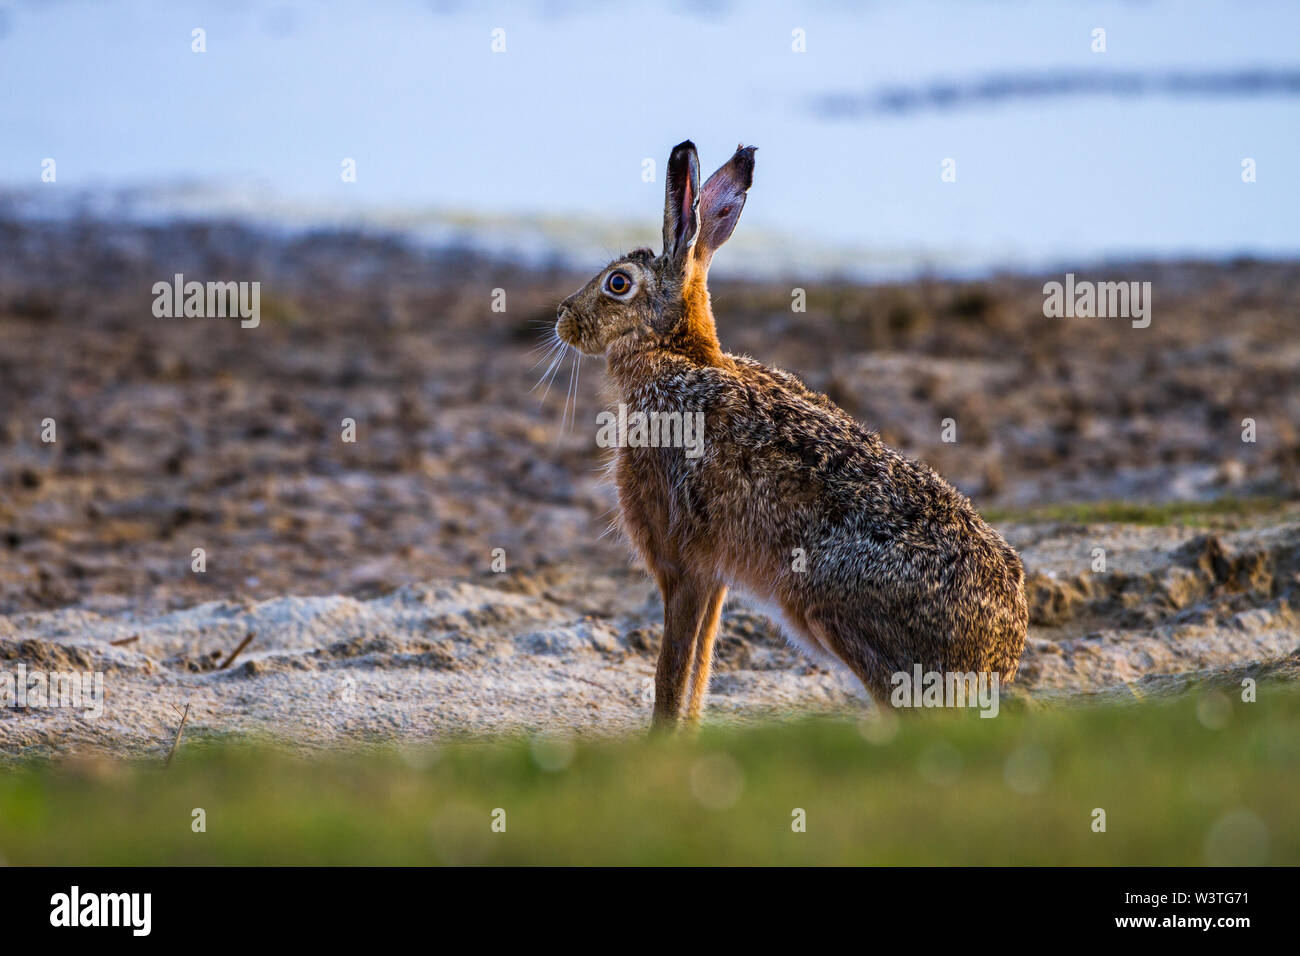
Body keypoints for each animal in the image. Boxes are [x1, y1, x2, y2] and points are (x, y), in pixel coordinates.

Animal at [555, 140, 1028, 728]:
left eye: (617, 283)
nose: (563, 318)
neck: (674, 353)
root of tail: (999, 653)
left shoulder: (683, 566)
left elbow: (672, 674)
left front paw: (658, 743)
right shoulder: (713, 579)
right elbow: (700, 671)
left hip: (832, 611)